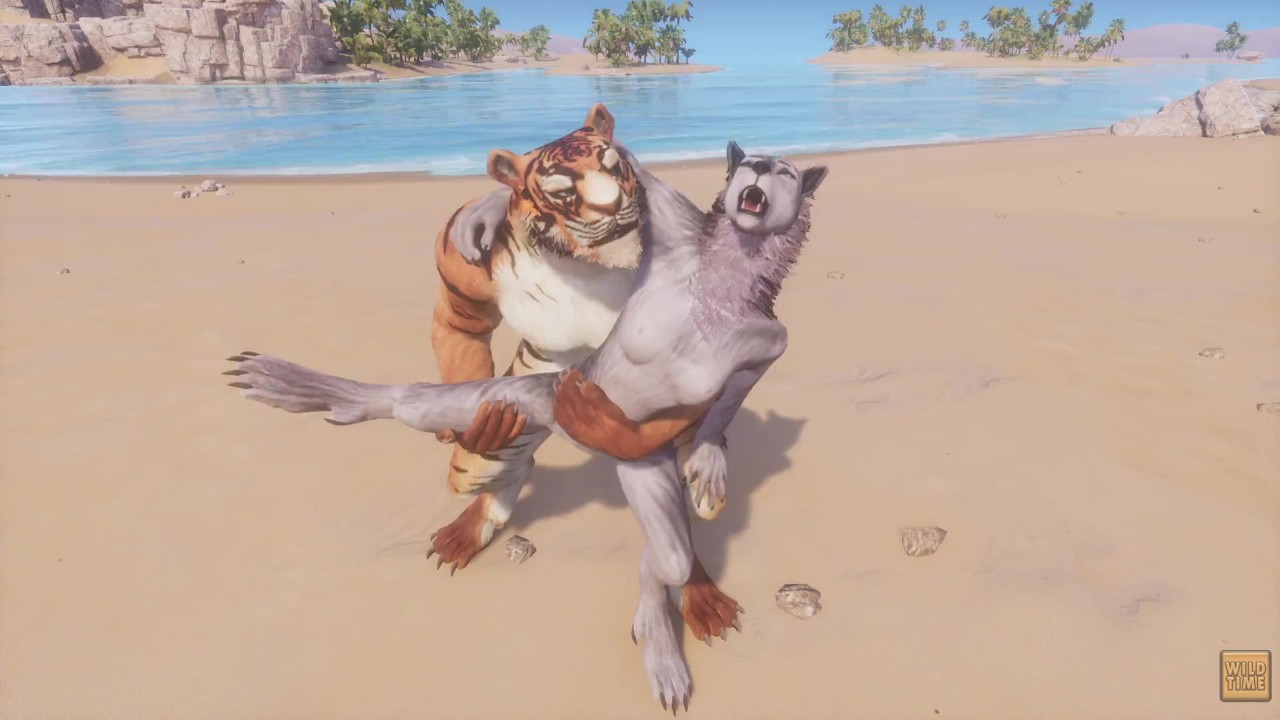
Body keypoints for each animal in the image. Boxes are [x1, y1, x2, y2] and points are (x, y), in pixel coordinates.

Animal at [427, 103, 715, 571]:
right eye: (563, 193)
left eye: (615, 168)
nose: (611, 204)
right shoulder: (463, 276)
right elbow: (461, 326)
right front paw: (474, 427)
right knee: (508, 471)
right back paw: (463, 531)